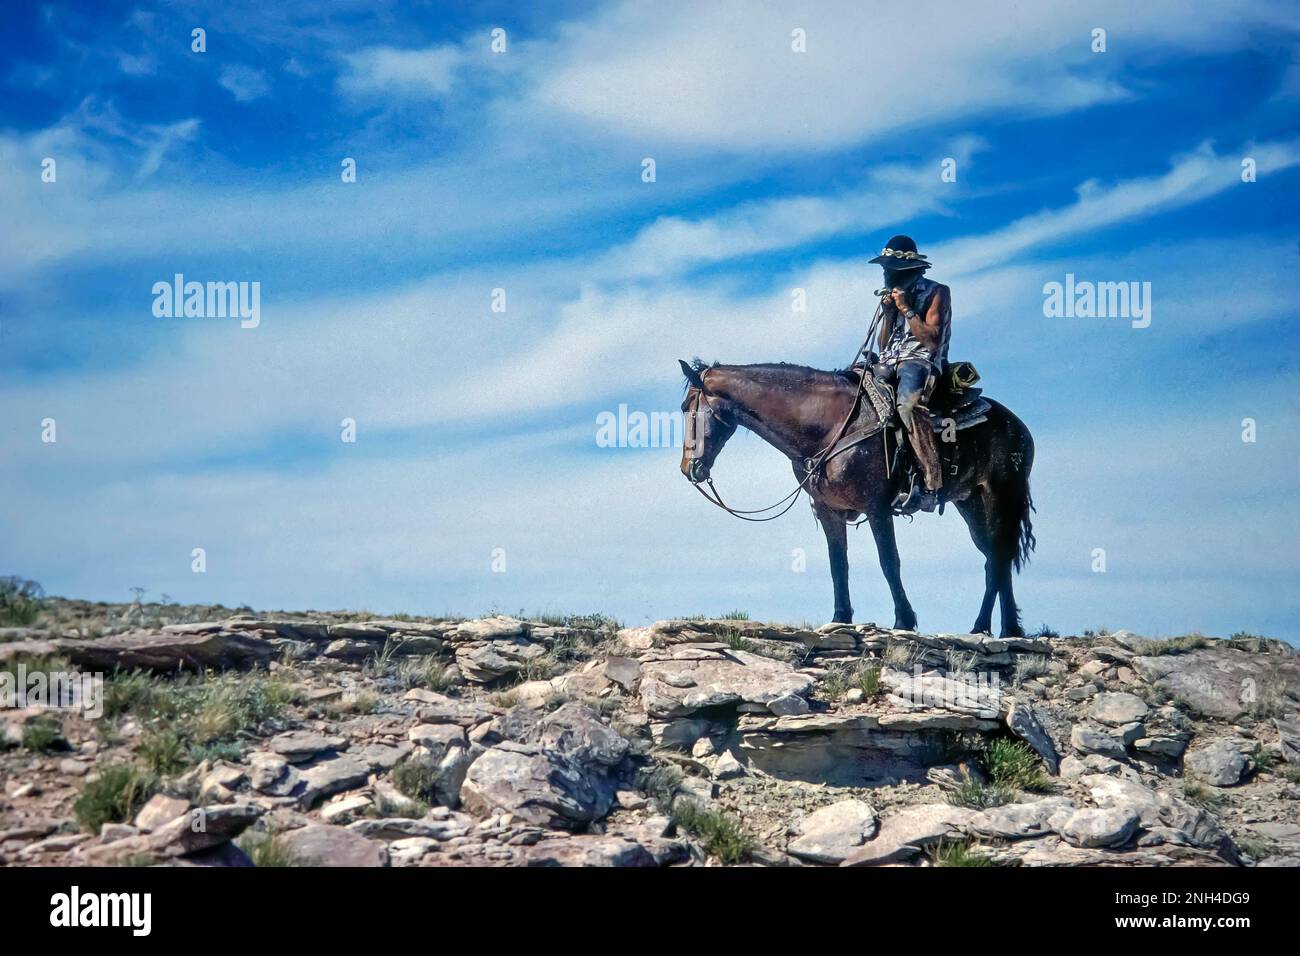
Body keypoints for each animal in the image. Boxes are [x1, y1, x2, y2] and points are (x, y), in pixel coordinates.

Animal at [678, 359, 1036, 637]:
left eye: (686, 409)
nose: (688, 468)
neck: (831, 425)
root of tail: (1017, 425)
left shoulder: (877, 508)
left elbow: (889, 562)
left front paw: (904, 620)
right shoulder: (829, 511)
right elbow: (839, 563)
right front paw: (840, 618)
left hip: (1001, 495)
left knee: (998, 556)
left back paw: (983, 627)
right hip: (970, 503)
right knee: (995, 558)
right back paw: (1006, 629)